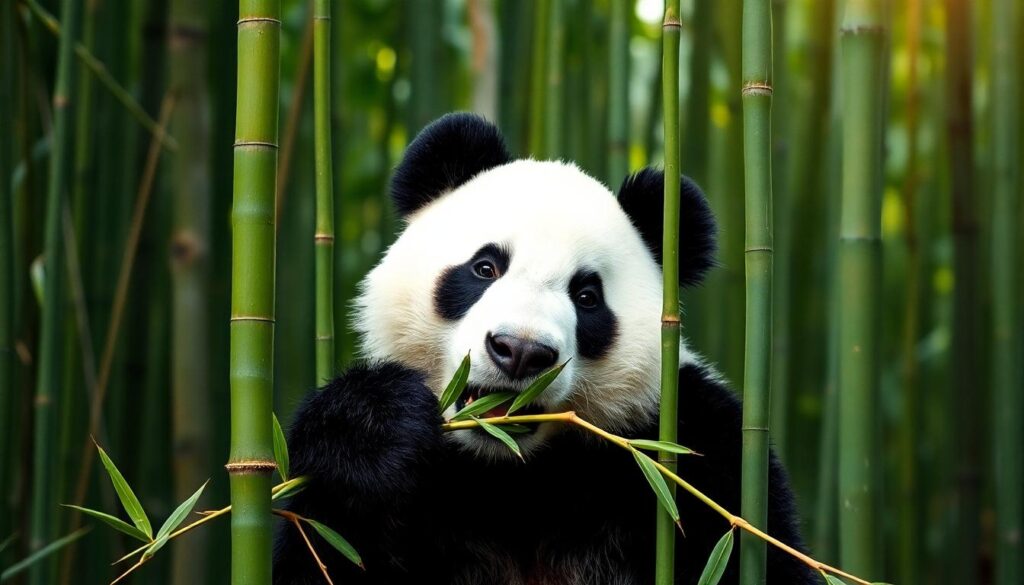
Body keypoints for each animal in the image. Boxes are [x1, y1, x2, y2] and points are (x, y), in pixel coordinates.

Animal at [273, 113, 817, 585]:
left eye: (587, 296)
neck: (517, 475)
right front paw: (377, 429)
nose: (520, 350)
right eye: (485, 267)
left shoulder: (699, 449)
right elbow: (327, 539)